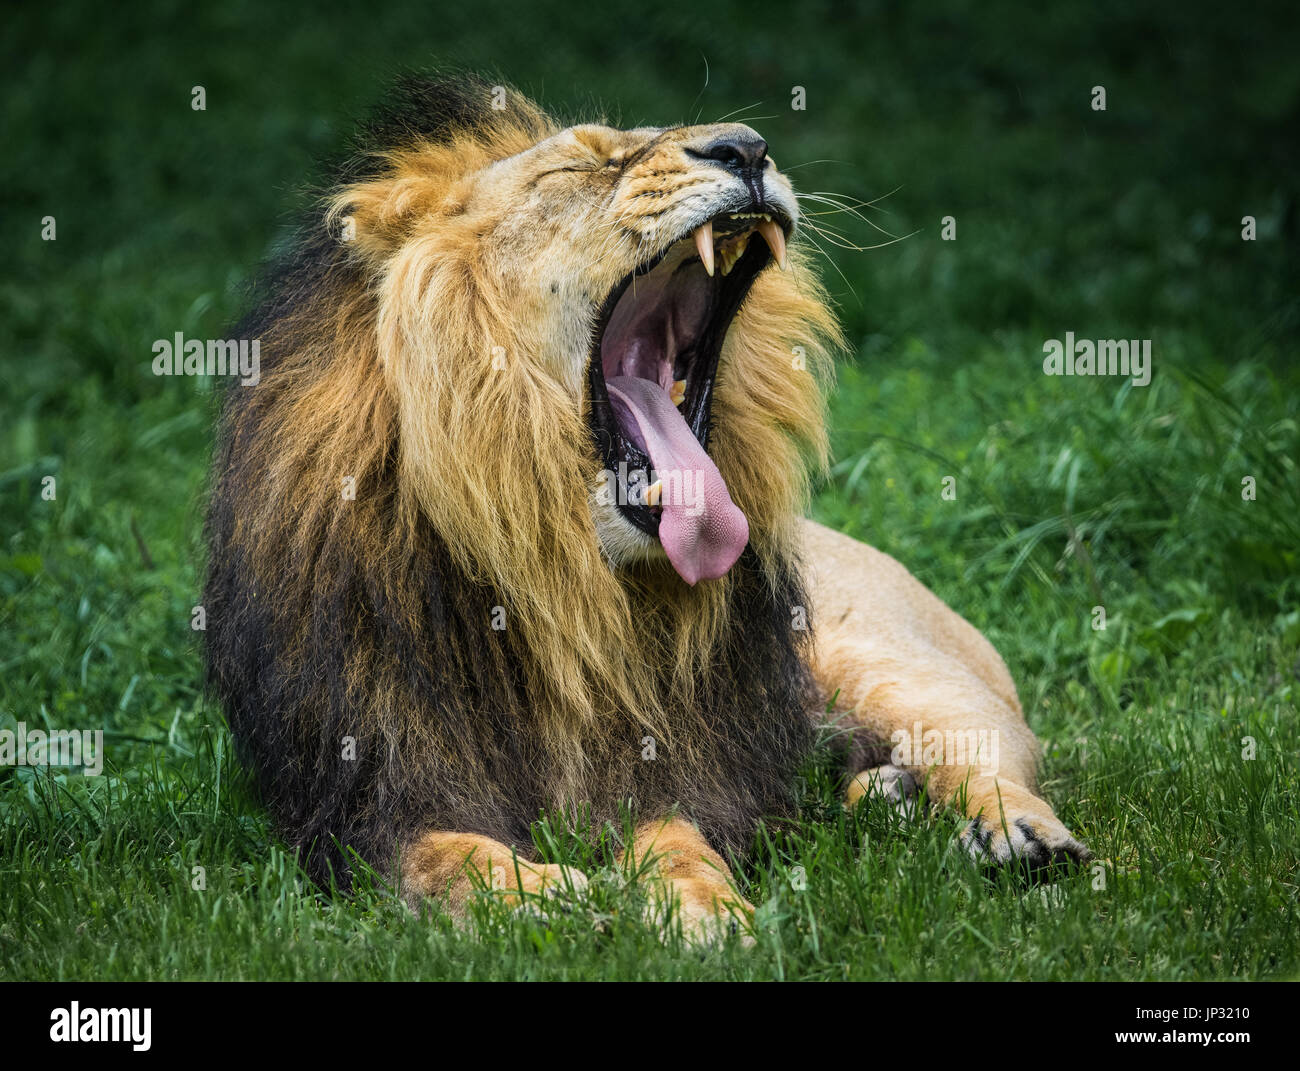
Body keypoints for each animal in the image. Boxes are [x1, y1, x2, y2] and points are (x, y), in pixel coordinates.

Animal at [204, 72, 1088, 942]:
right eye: (580, 169)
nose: (749, 147)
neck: (559, 586)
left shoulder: (677, 762)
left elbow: (676, 833)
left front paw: (703, 908)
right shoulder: (358, 801)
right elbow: (444, 857)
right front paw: (546, 898)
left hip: (894, 668)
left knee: (985, 757)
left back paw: (1020, 838)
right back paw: (889, 797)